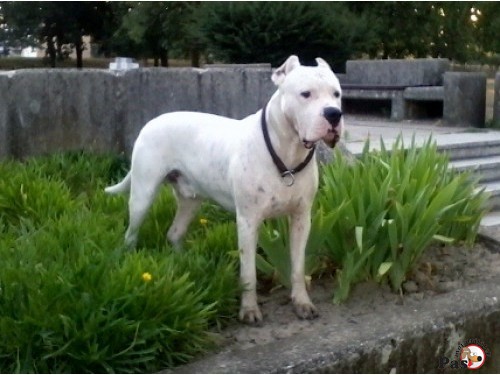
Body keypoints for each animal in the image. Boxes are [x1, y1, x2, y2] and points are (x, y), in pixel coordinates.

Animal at [105, 55, 344, 326]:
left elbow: (298, 266)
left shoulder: (301, 219)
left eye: (336, 94)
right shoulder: (248, 221)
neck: (287, 153)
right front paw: (249, 310)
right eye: (306, 94)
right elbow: (249, 271)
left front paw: (302, 302)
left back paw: (184, 262)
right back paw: (128, 257)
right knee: (131, 233)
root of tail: (152, 121)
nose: (334, 114)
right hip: (142, 195)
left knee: (174, 232)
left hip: (190, 201)